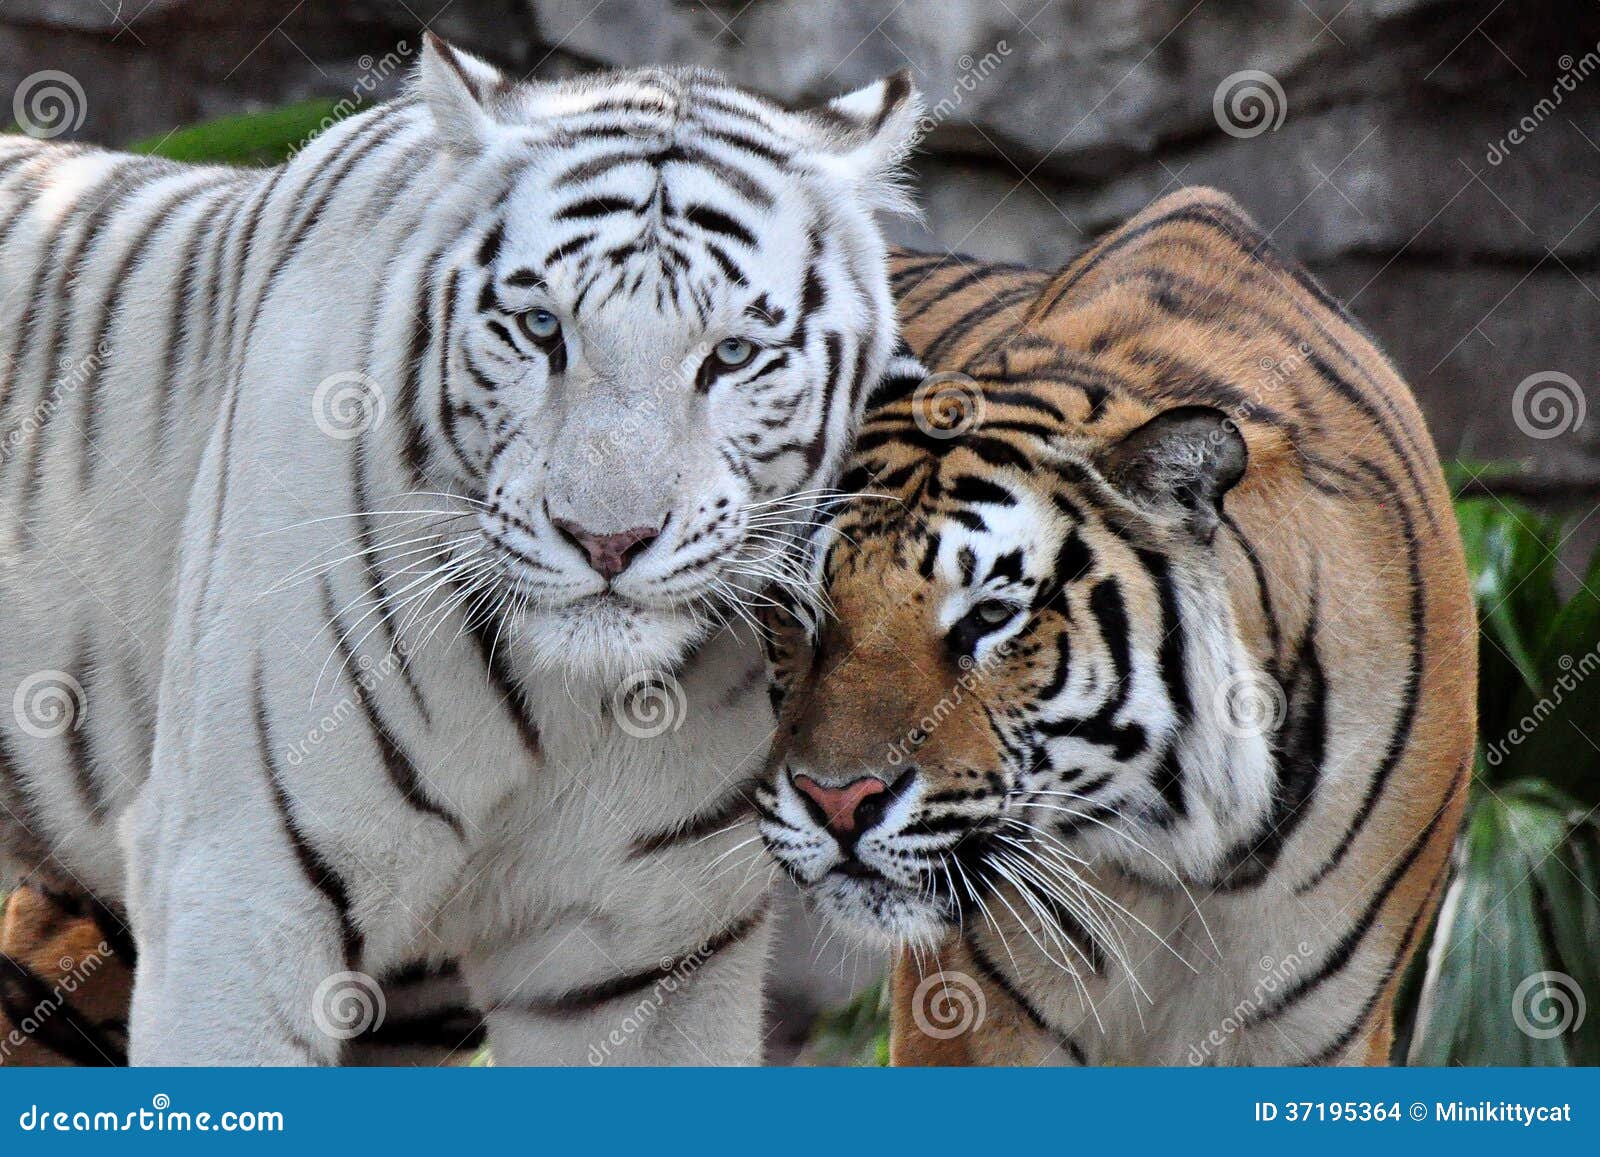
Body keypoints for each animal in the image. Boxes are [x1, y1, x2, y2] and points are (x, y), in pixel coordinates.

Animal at [0, 34, 922, 1065]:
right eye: (542, 328)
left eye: (730, 354)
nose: (608, 540)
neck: (573, 707)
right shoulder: (237, 884)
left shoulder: (650, 951)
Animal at [755, 187, 1476, 1066]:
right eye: (799, 610)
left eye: (991, 616)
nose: (837, 803)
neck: (1186, 861)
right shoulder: (974, 1010)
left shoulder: (1327, 1031)